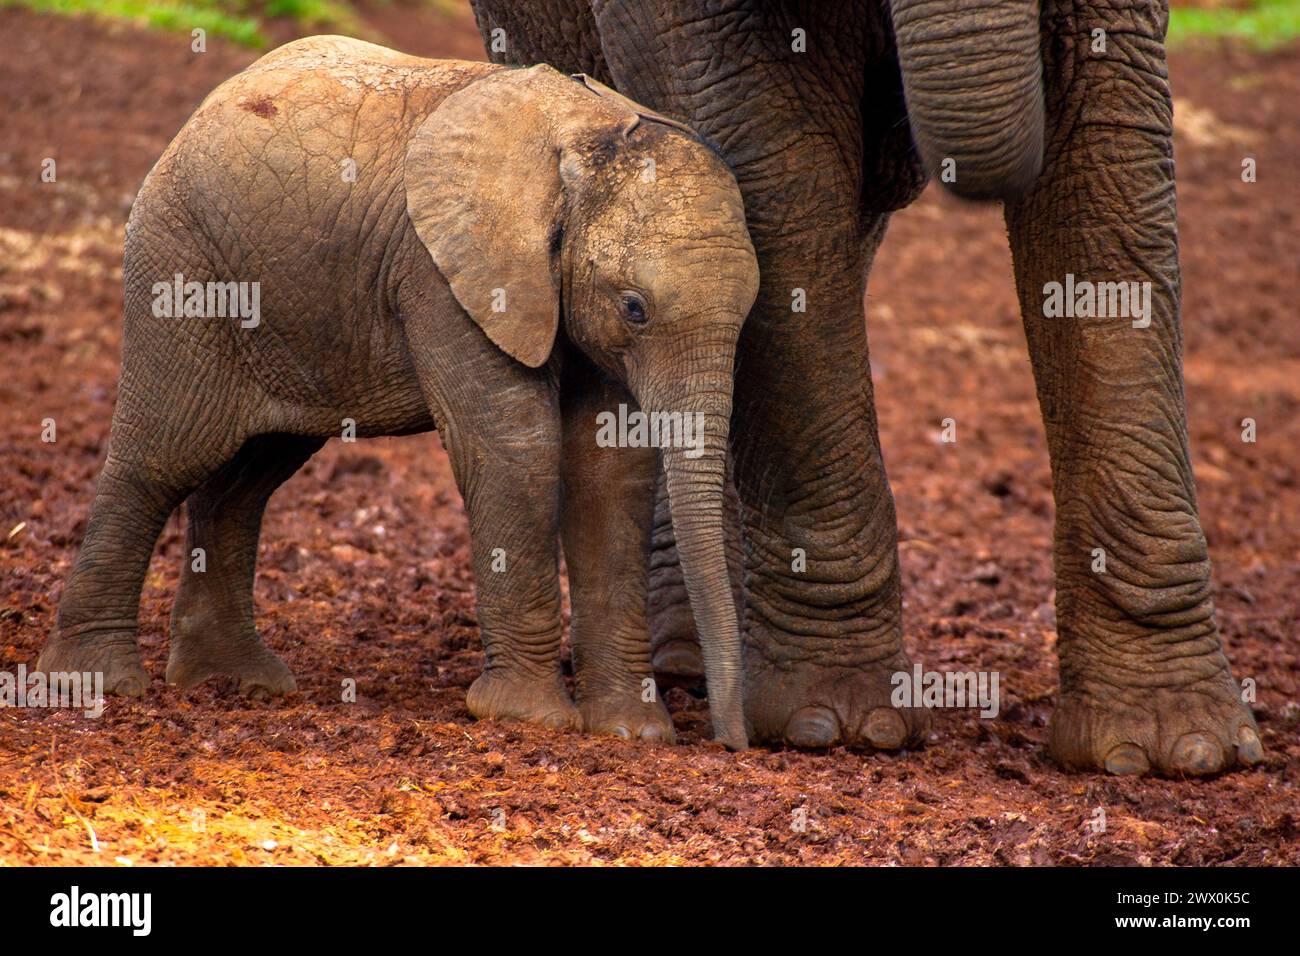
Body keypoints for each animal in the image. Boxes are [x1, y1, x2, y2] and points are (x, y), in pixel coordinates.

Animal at [37, 36, 760, 750]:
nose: (733, 742)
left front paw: (631, 732)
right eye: (635, 307)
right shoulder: (441, 274)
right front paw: (530, 719)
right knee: (161, 460)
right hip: (186, 273)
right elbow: (516, 448)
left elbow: (611, 470)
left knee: (246, 479)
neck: (590, 130)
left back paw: (235, 681)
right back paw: (96, 682)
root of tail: (194, 118)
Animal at [466, 0, 1265, 776]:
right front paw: (835, 726)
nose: (731, 747)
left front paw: (1174, 750)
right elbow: (776, 175)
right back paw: (694, 667)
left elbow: (1109, 160)